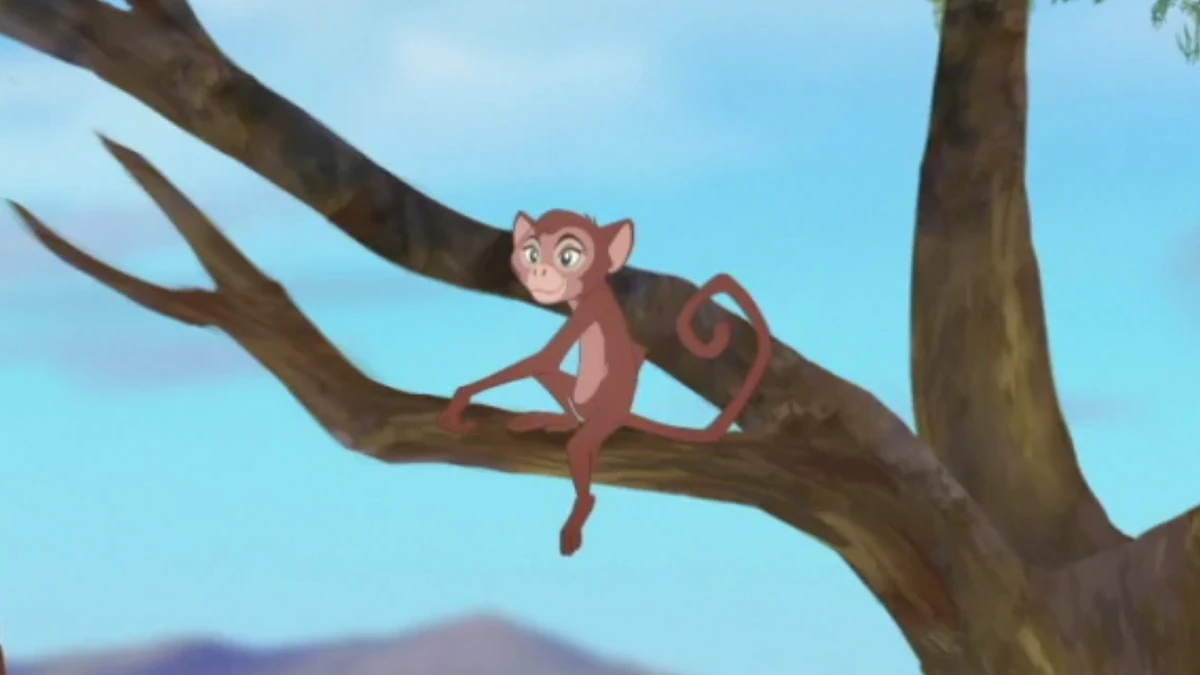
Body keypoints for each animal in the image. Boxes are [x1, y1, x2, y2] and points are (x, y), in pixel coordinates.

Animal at [436, 209, 772, 556]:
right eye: (531, 254)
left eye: (568, 257)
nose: (539, 270)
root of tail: (623, 412)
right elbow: (544, 366)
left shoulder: (587, 309)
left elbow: (544, 359)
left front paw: (462, 397)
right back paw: (561, 421)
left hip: (605, 418)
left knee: (579, 444)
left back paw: (582, 502)